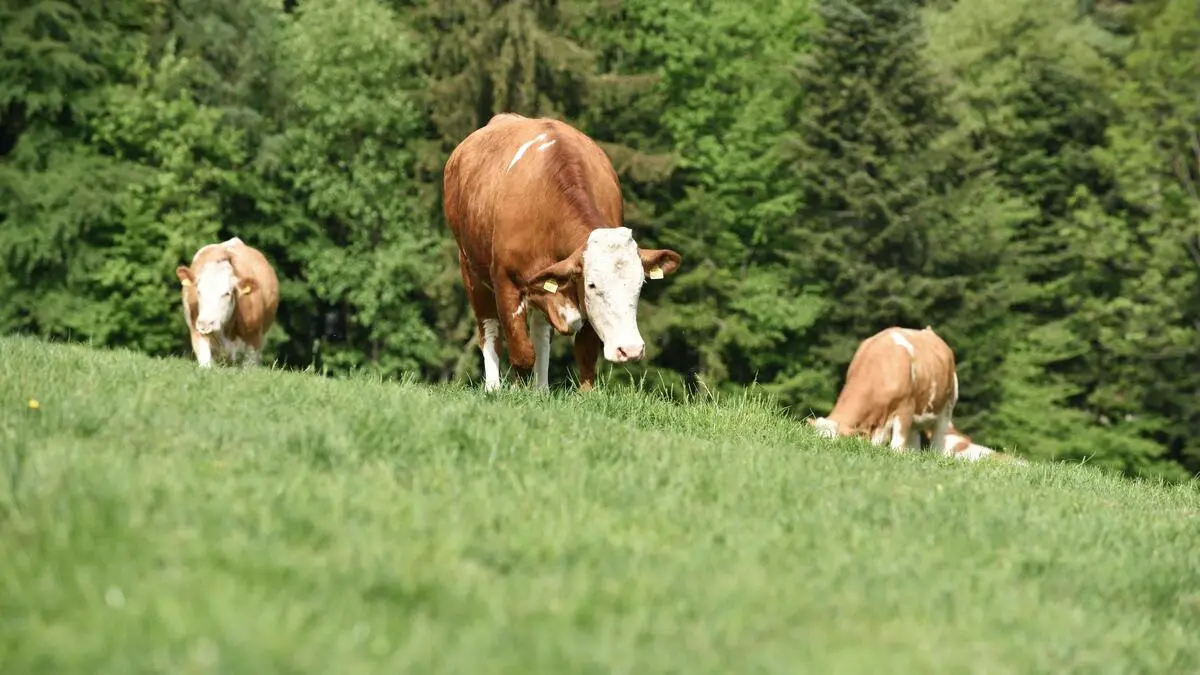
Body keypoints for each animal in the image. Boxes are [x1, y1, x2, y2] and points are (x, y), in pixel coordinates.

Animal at [442, 113, 682, 393]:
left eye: (640, 284)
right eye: (592, 285)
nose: (630, 349)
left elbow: (585, 352)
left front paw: (586, 395)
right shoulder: (505, 282)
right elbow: (522, 353)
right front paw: (515, 391)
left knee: (541, 334)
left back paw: (541, 390)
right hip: (470, 270)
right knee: (488, 330)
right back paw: (493, 387)